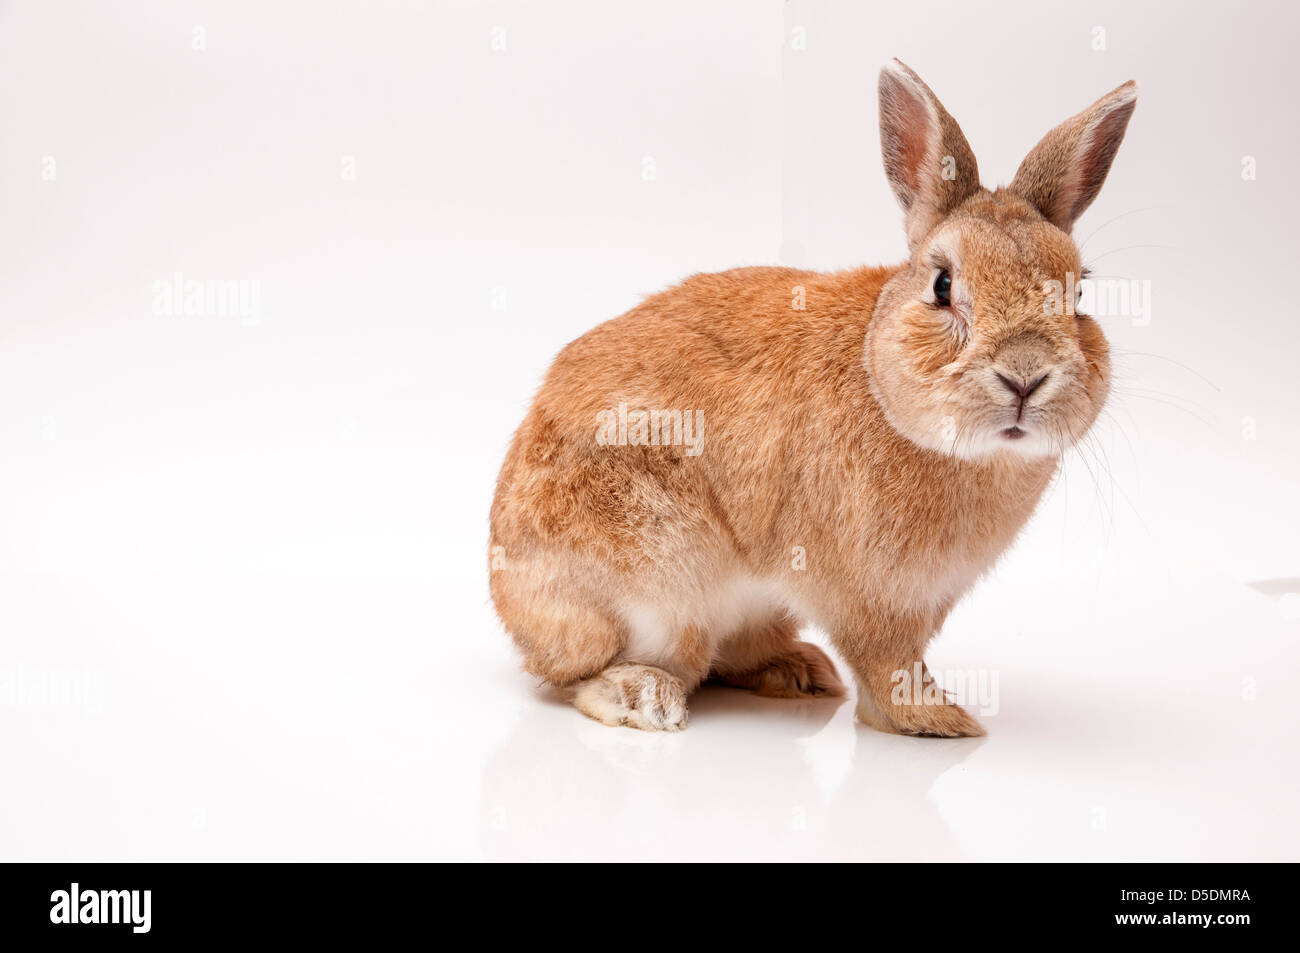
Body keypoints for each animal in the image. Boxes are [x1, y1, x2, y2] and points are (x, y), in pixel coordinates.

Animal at [489, 60, 1136, 736]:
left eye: (1079, 295)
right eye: (943, 285)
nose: (1025, 375)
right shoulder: (869, 597)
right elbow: (887, 663)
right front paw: (938, 720)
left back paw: (798, 672)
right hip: (656, 587)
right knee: (584, 674)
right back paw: (645, 696)